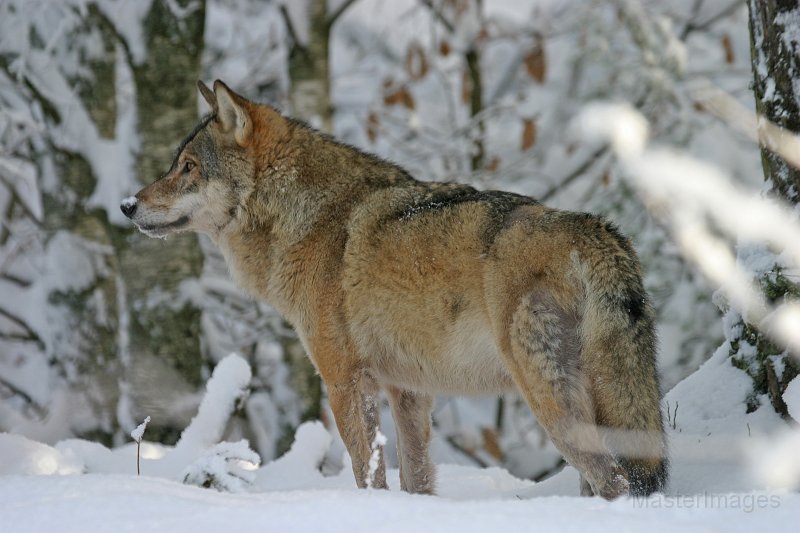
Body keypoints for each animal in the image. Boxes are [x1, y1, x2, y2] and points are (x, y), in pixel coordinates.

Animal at [121, 80, 668, 500]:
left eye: (188, 167)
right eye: (175, 164)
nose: (127, 205)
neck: (307, 218)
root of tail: (594, 230)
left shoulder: (345, 381)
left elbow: (368, 473)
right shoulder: (409, 391)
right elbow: (417, 480)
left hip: (550, 405)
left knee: (617, 482)